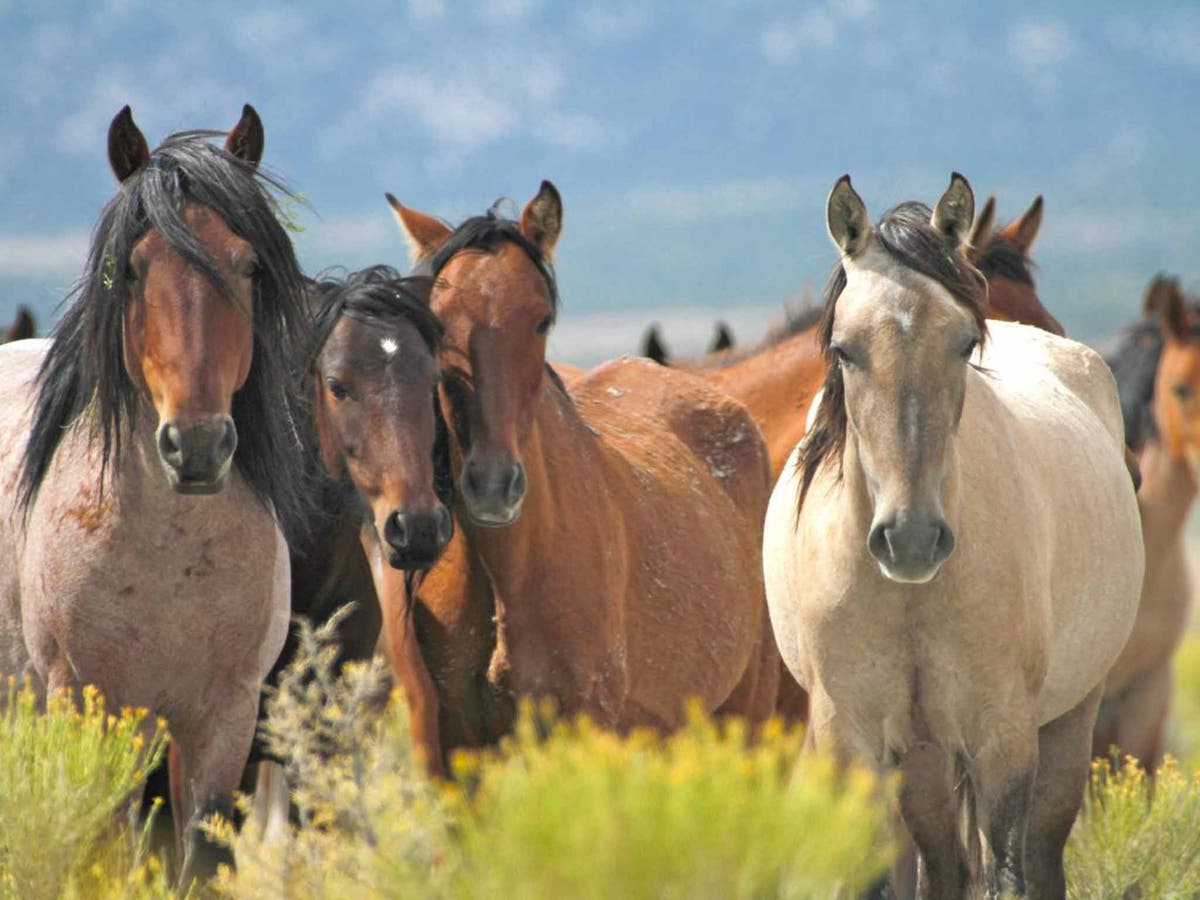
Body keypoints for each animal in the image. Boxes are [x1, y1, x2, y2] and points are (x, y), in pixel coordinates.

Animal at [0, 105, 311, 887]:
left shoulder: (223, 720)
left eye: (248, 265)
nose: (196, 446)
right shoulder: (85, 709)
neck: (172, 563)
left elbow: (199, 855)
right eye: (134, 269)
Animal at [762, 174, 1143, 898]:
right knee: (944, 865)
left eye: (964, 344)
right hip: (923, 760)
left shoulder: (1002, 743)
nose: (910, 540)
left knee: (1041, 858)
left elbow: (1007, 874)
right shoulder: (853, 742)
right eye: (843, 349)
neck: (909, 596)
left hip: (1066, 722)